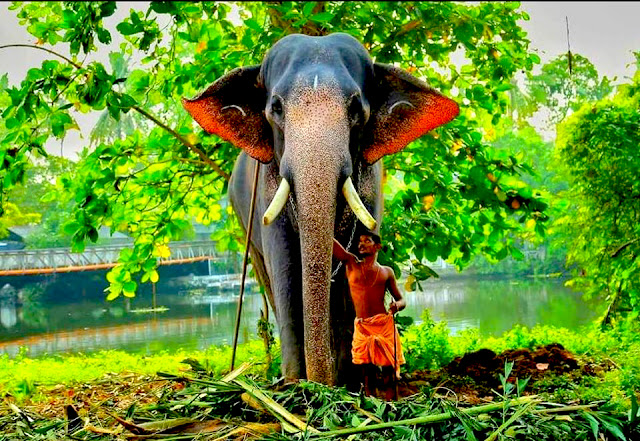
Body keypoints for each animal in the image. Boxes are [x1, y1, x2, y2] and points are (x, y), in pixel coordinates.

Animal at [183, 33, 459, 386]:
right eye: (276, 108)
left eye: (356, 108)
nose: (319, 381)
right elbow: (286, 268)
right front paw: (295, 384)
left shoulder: (371, 188)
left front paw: (349, 383)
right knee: (267, 278)